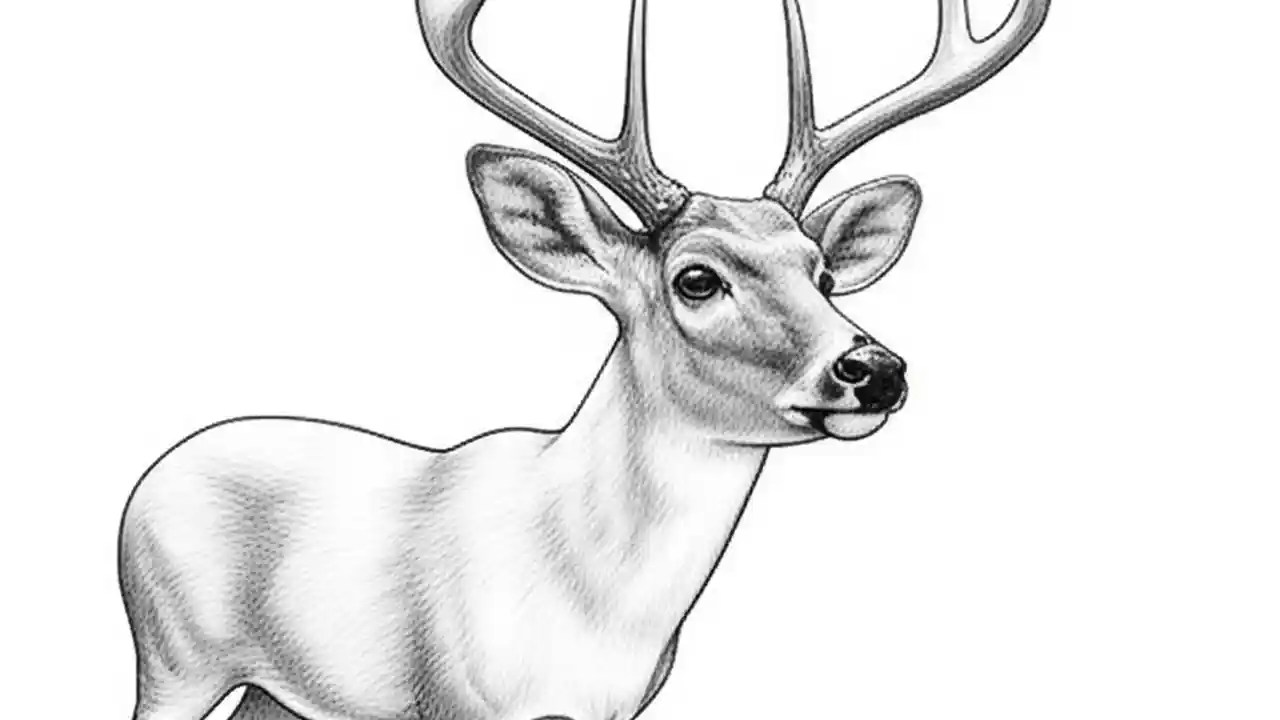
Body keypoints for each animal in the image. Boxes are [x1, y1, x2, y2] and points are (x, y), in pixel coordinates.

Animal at [117, 1, 1049, 718]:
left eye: (821, 273)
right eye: (697, 278)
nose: (874, 369)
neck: (589, 607)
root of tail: (151, 475)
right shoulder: (457, 702)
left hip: (277, 692)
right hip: (172, 656)